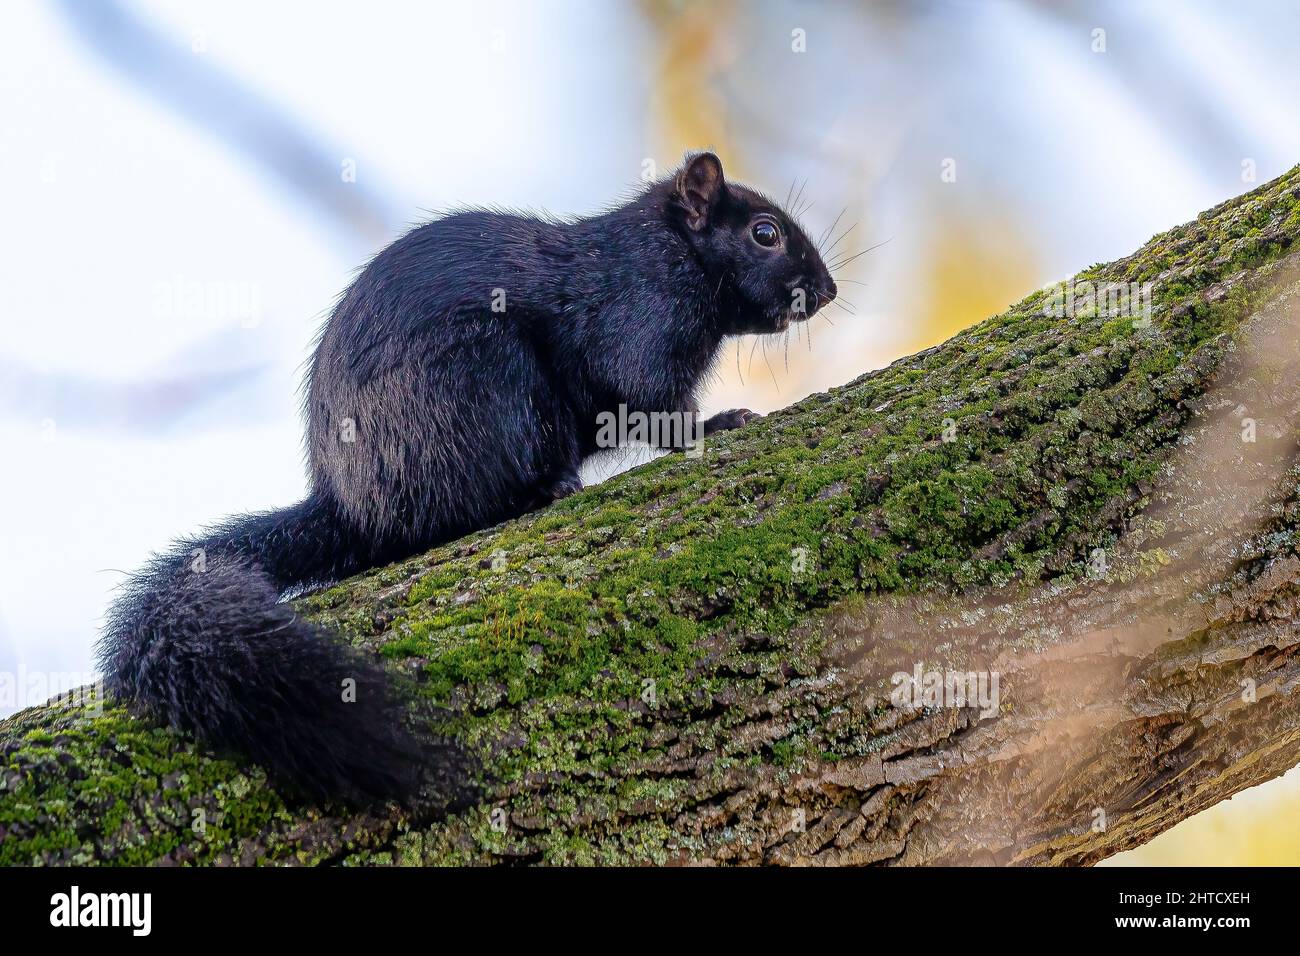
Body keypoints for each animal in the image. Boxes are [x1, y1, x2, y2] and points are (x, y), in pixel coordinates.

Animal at [99, 152, 838, 804]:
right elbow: (648, 398)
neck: (671, 254)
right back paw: (542, 490)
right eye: (764, 233)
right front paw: (719, 424)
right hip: (487, 384)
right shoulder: (640, 316)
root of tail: (349, 509)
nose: (828, 291)